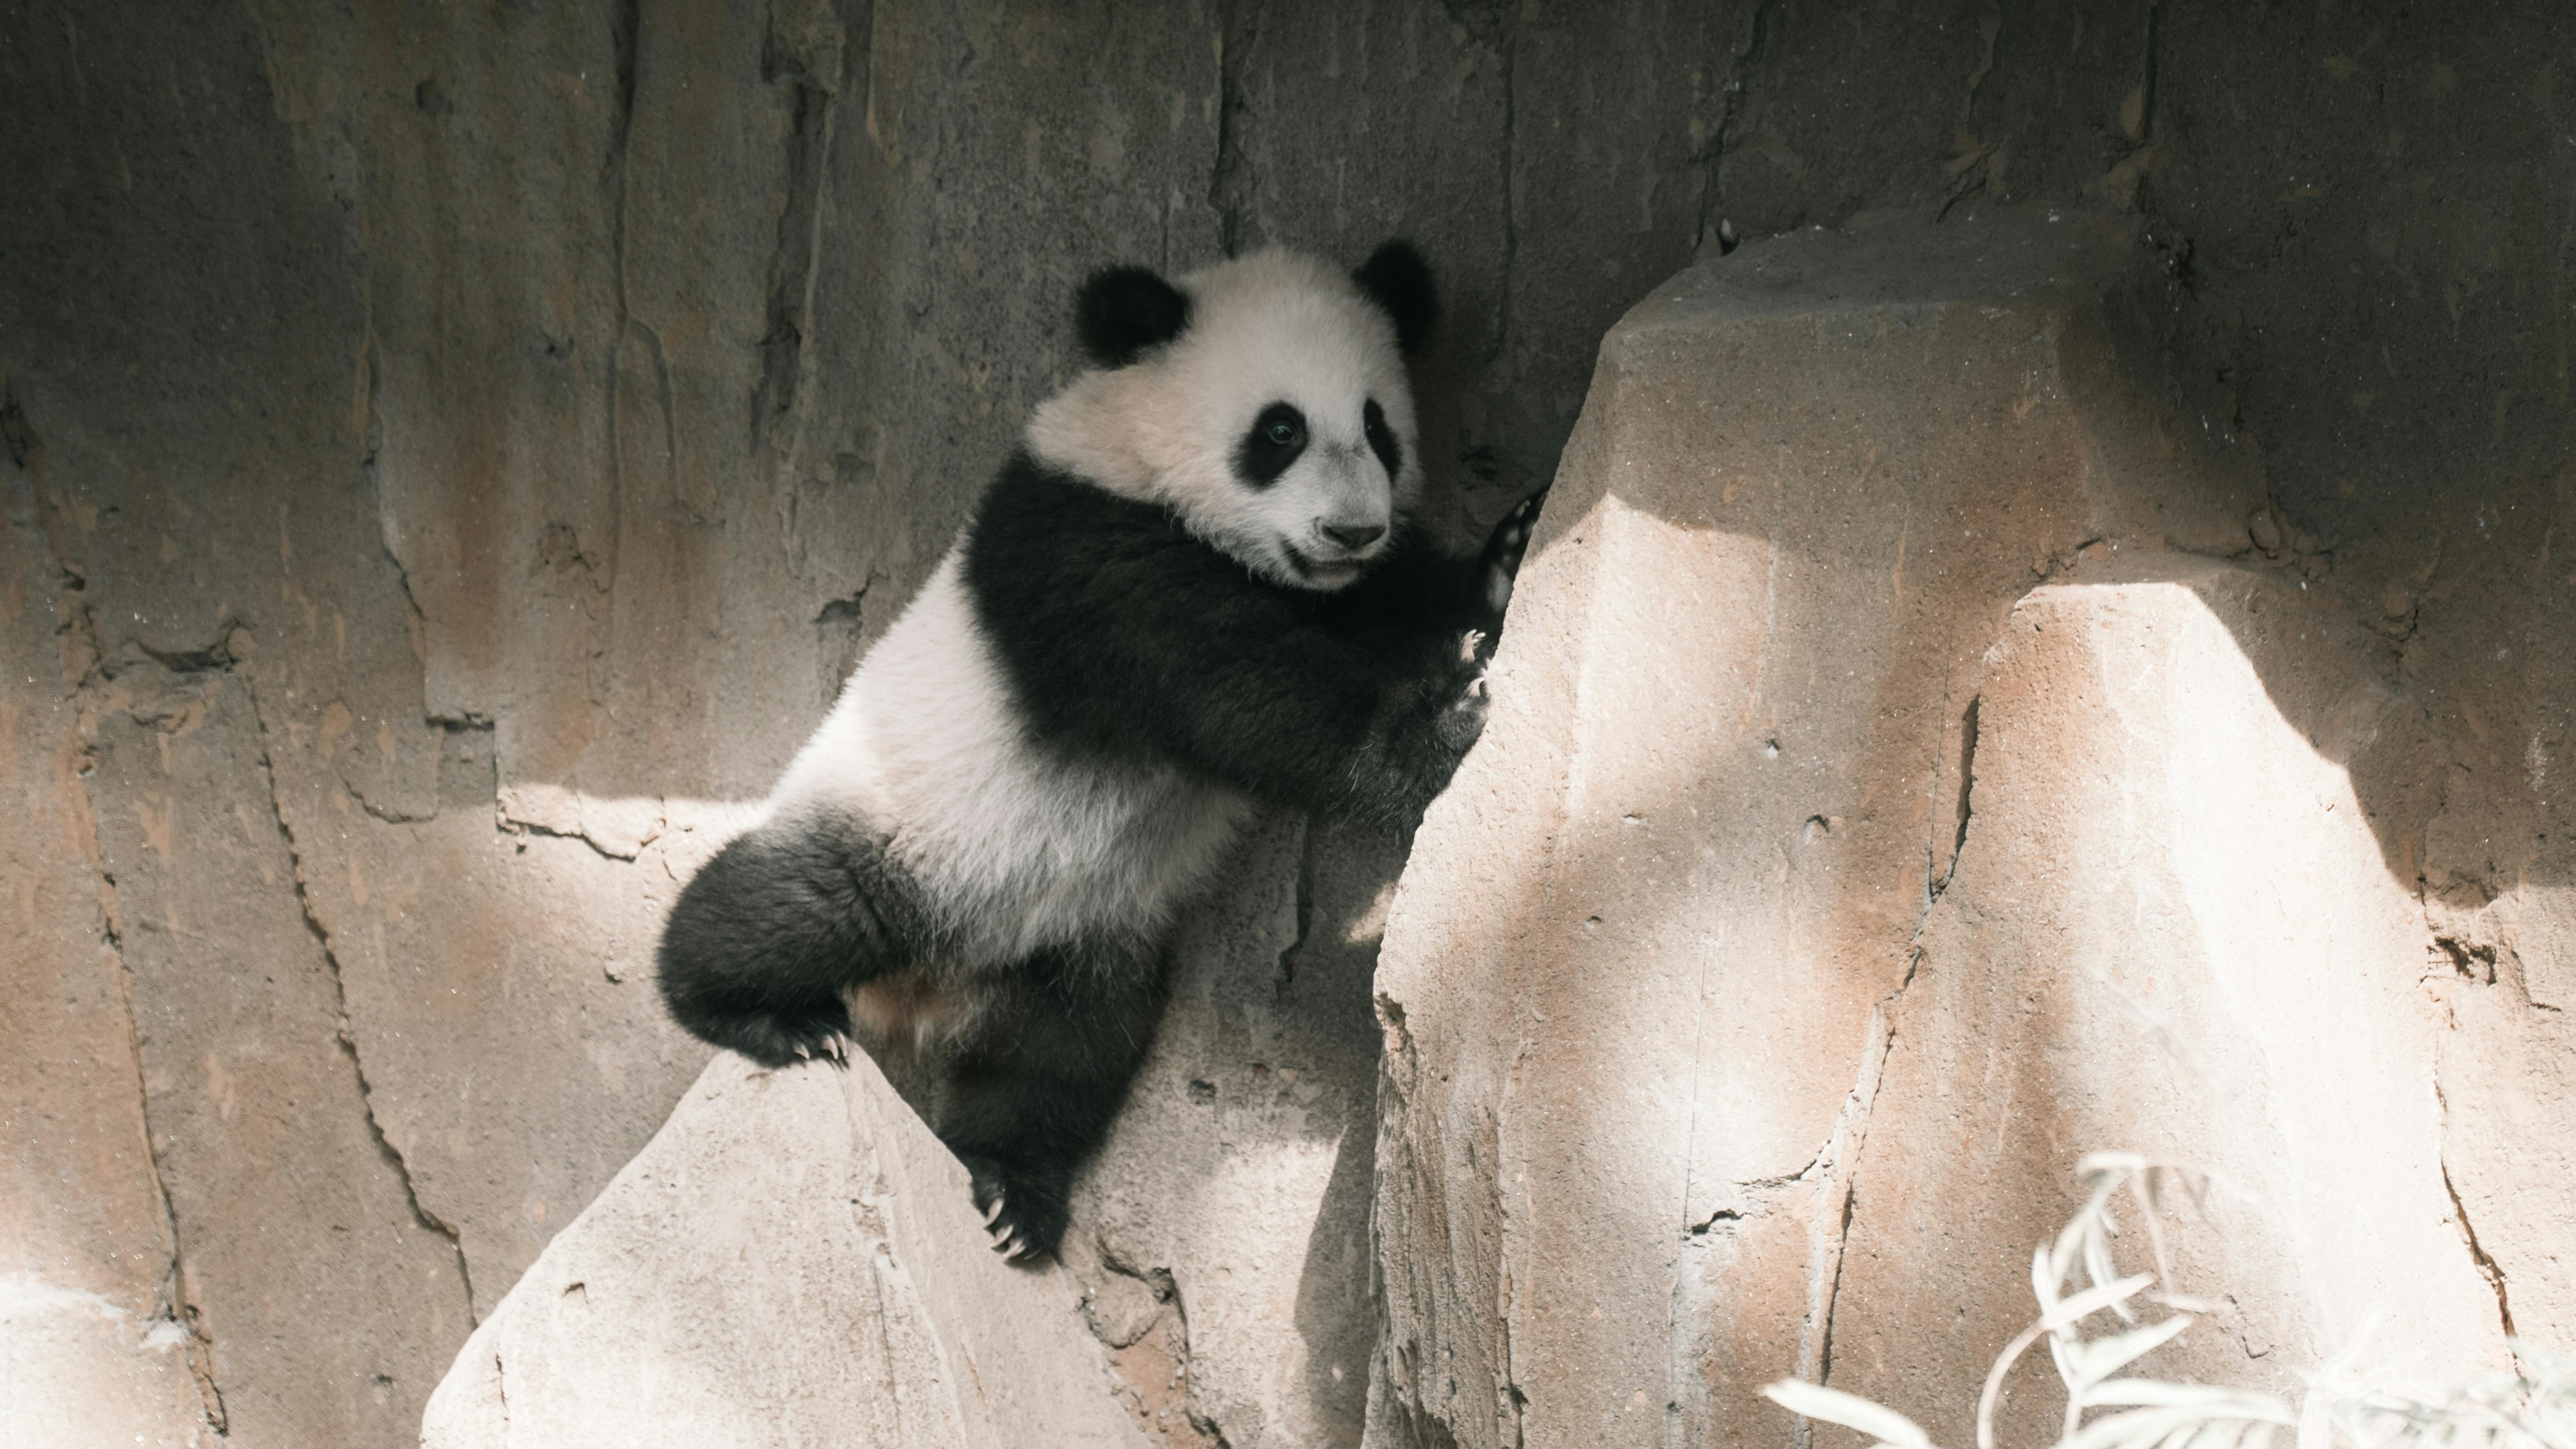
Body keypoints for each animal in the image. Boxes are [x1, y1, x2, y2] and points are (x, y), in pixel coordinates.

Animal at [657, 239, 1544, 1262]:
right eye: (1279, 431)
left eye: (1378, 426)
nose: (1351, 529)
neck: (1144, 465)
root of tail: (928, 990)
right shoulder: (1086, 556)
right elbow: (1245, 692)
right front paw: (1444, 729)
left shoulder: (1344, 588)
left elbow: (1395, 603)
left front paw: (1509, 556)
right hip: (905, 828)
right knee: (795, 904)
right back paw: (759, 1014)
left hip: (1089, 930)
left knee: (1061, 1060)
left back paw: (1011, 1191)